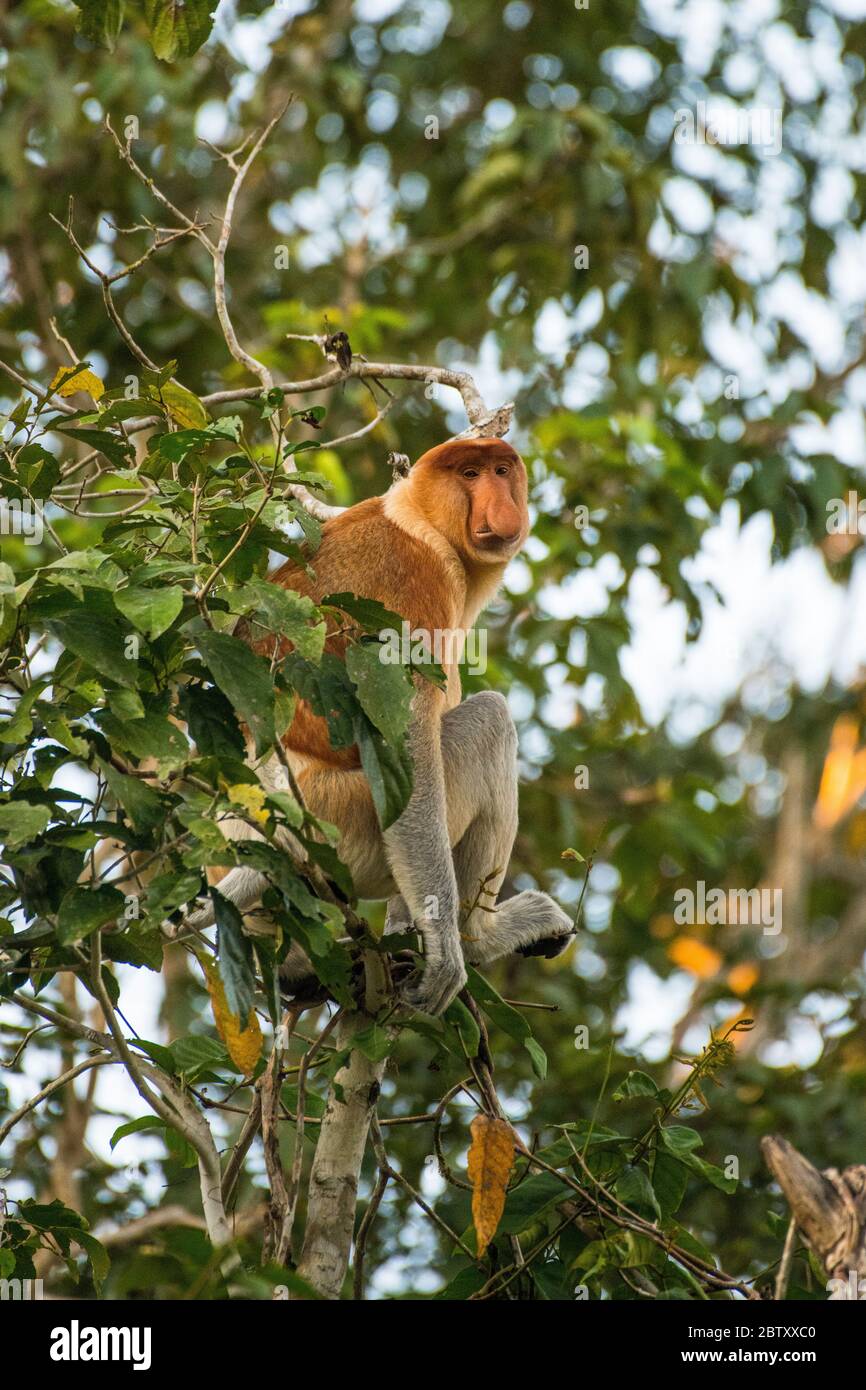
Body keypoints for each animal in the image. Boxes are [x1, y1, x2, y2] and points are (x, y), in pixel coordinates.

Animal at [187, 436, 574, 1016]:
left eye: (502, 470)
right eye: (470, 474)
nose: (502, 504)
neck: (419, 517)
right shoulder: (419, 578)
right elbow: (409, 738)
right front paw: (445, 957)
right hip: (345, 820)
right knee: (489, 722)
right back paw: (483, 939)